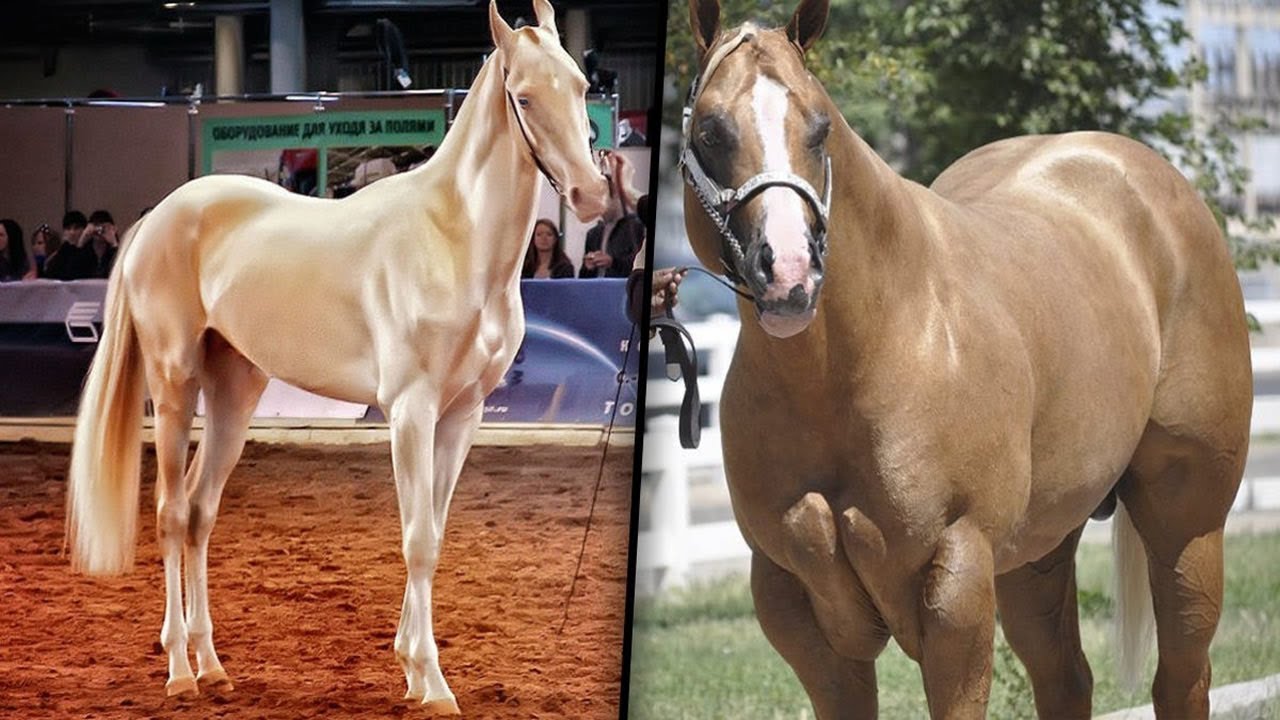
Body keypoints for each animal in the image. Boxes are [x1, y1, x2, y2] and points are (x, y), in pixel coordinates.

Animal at [64, 1, 608, 712]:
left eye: (581, 85)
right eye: (522, 96)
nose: (593, 196)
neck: (452, 240)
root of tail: (157, 217)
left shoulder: (462, 416)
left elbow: (433, 531)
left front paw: (411, 669)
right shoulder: (409, 413)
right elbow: (417, 540)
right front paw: (432, 682)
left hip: (235, 394)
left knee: (202, 513)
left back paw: (213, 666)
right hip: (175, 383)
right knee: (172, 514)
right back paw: (180, 670)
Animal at [678, 1, 1251, 717]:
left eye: (820, 127)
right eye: (709, 131)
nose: (788, 273)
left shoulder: (957, 584)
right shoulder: (795, 608)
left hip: (1188, 525)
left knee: (1181, 677)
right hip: (1037, 553)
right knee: (1066, 679)